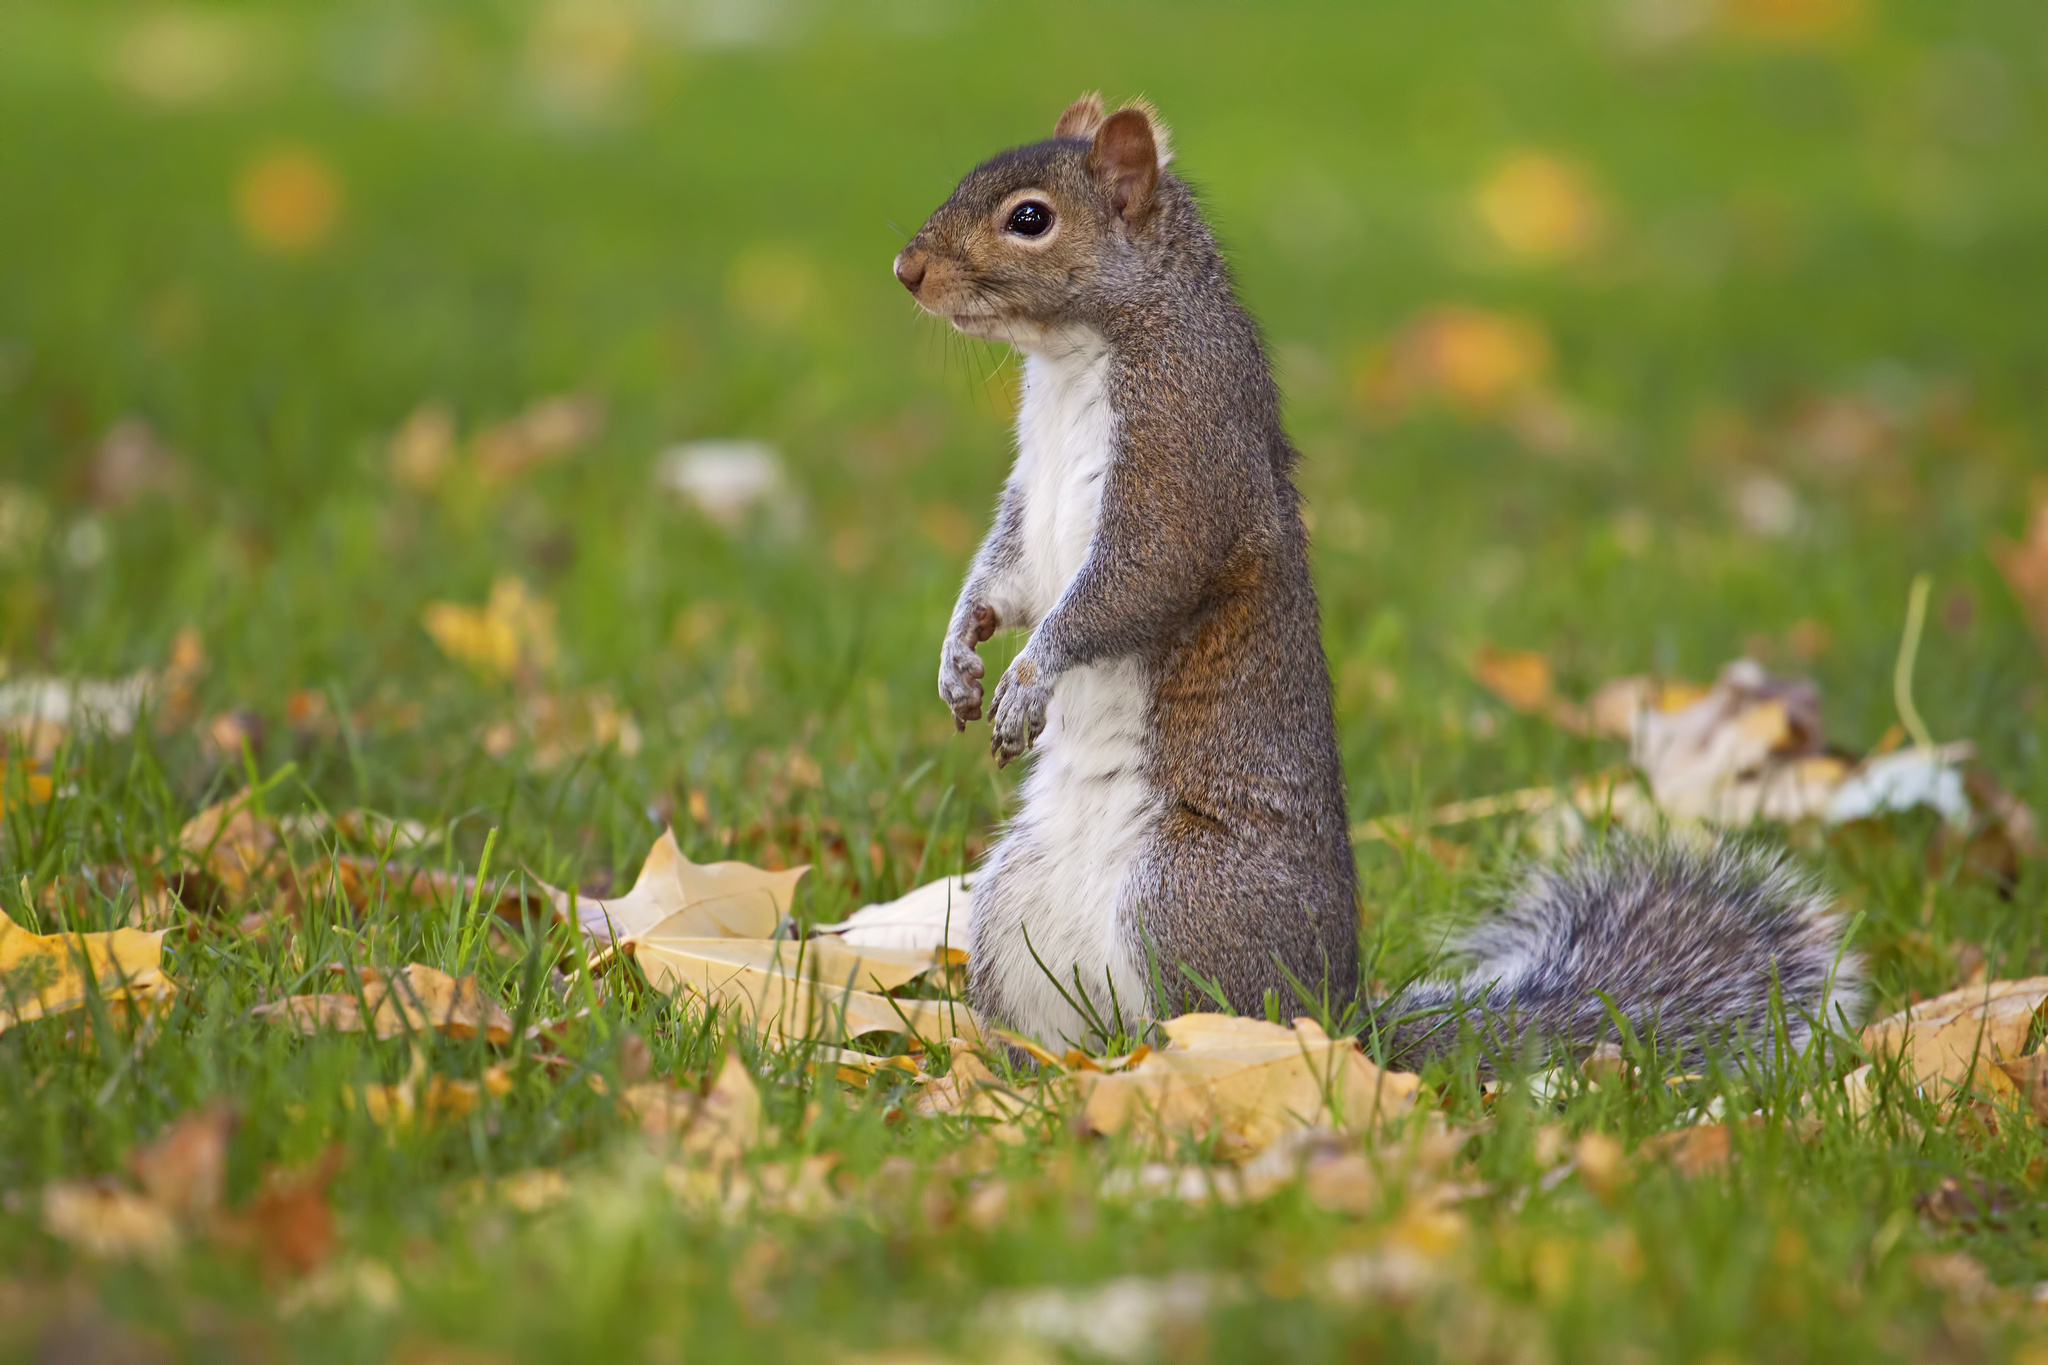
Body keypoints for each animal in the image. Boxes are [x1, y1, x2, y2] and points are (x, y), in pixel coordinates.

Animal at [892, 94, 1864, 1069]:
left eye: (1029, 219)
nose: (907, 269)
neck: (1075, 356)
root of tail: (1342, 1017)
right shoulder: (1032, 497)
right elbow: (1007, 574)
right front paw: (958, 653)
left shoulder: (1182, 461)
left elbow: (1128, 587)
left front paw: (1029, 677)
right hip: (1009, 905)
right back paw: (1030, 1070)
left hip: (1182, 898)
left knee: (1209, 1016)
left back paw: (1181, 1063)